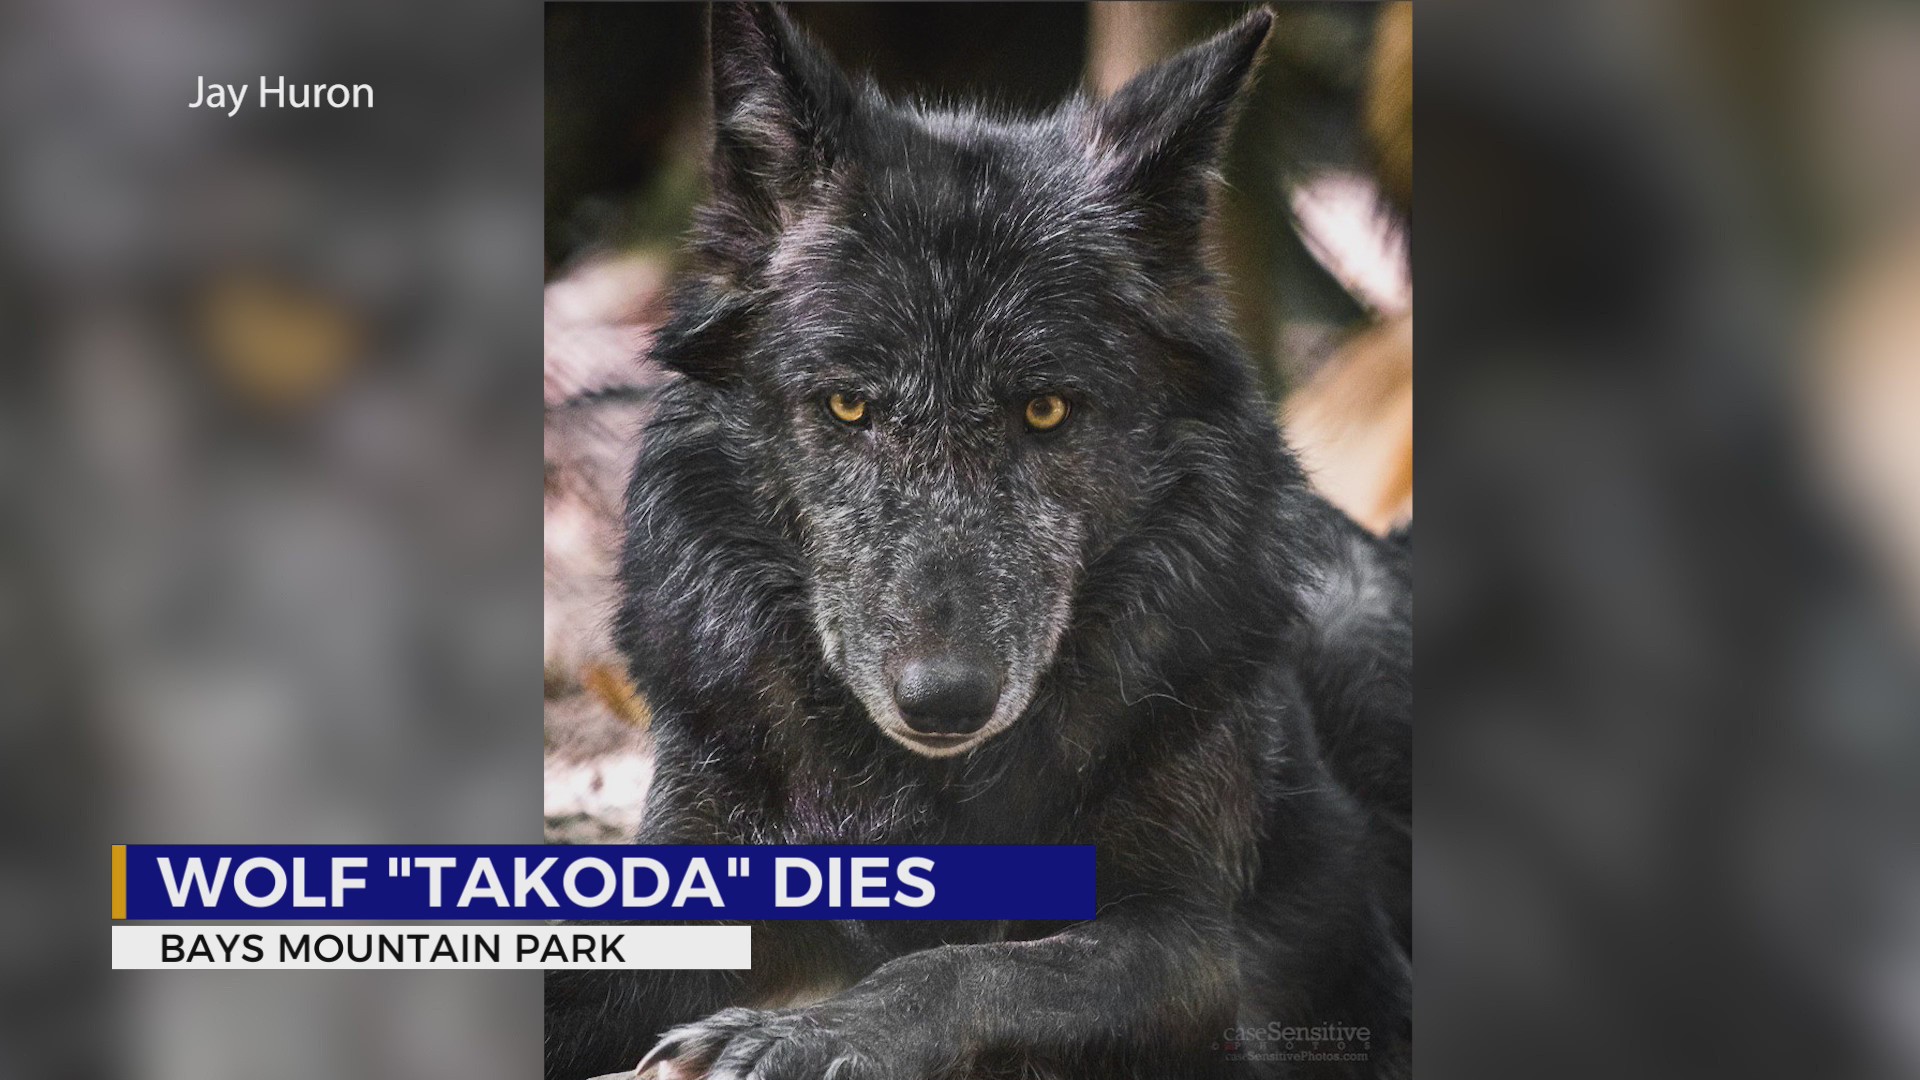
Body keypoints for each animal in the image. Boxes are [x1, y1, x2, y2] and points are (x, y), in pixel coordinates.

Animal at [545, 4, 1412, 1078]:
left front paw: (795, 1035)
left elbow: (971, 968)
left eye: (1045, 410)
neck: (920, 793)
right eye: (849, 406)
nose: (945, 698)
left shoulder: (1188, 948)